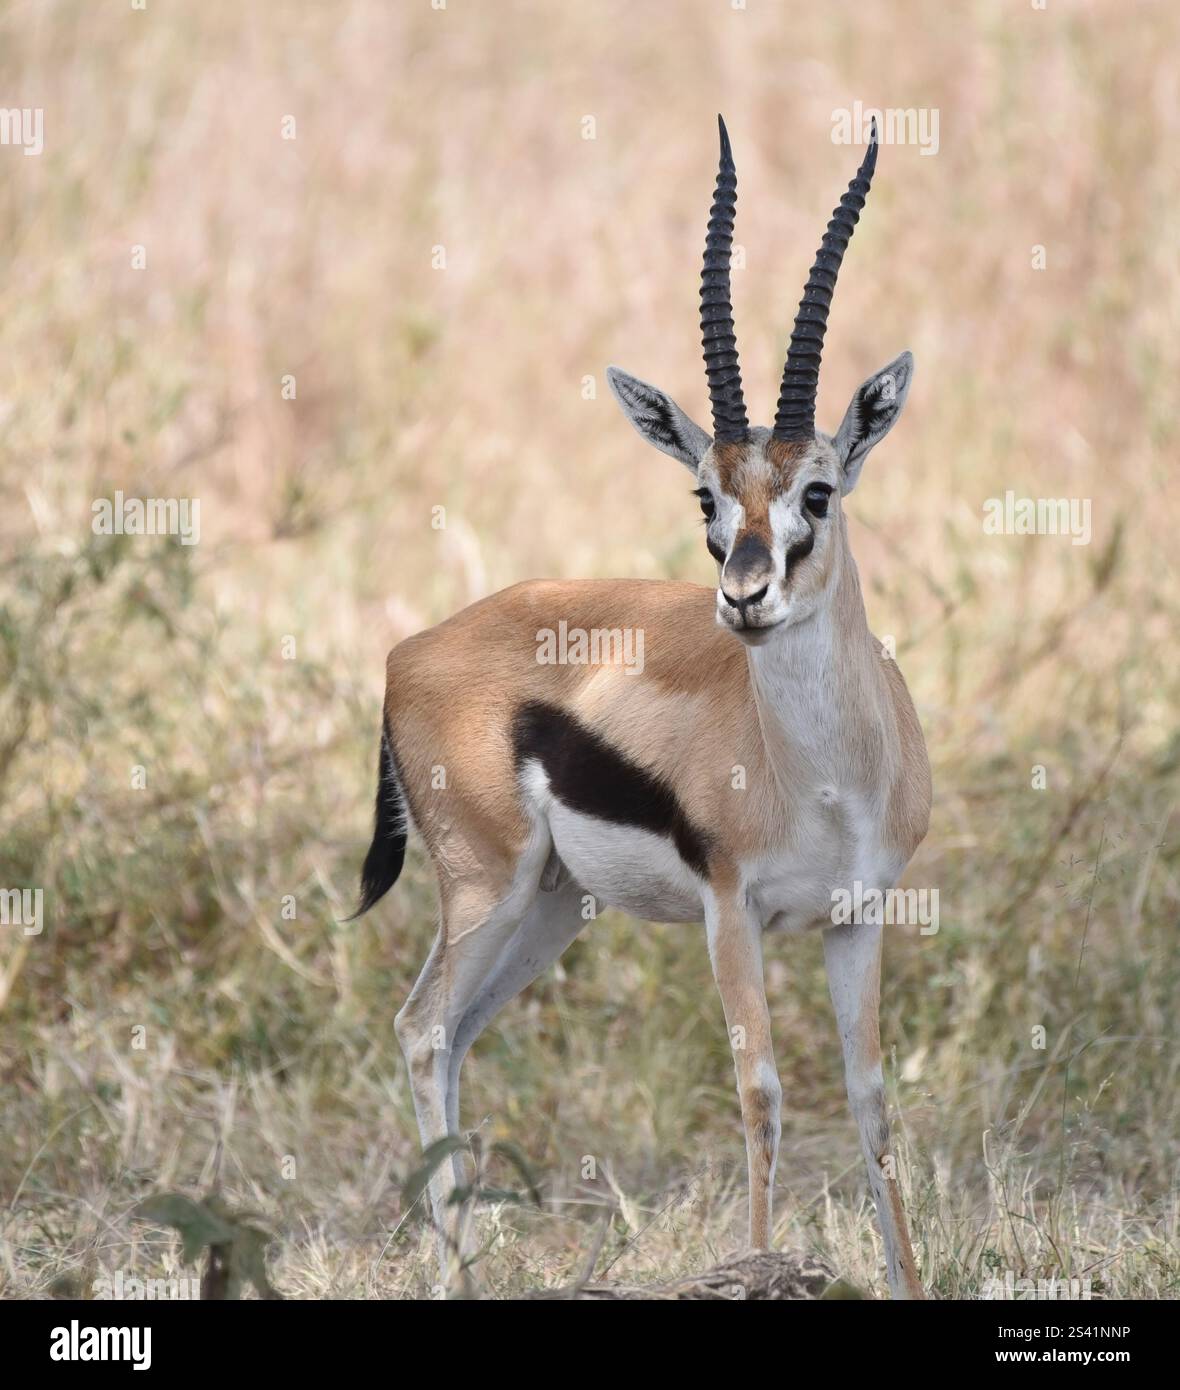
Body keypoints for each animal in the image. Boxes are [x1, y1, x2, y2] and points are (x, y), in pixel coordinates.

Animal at [357, 116, 930, 1298]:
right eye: (705, 496)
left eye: (817, 491)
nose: (744, 596)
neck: (826, 778)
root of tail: (408, 651)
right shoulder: (731, 912)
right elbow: (761, 1092)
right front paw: (758, 1265)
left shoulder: (856, 917)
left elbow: (869, 1101)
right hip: (487, 888)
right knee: (423, 1028)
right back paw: (453, 1274)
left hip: (550, 906)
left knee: (457, 1032)